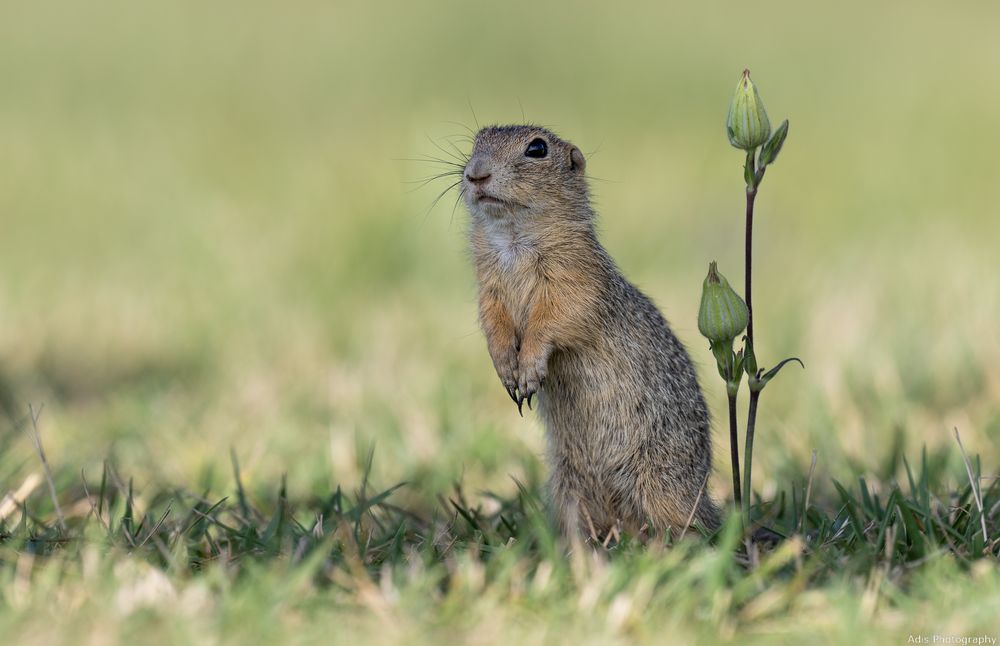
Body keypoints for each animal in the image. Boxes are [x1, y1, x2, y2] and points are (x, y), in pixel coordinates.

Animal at [460, 124, 720, 540]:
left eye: (537, 149)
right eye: (475, 143)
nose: (475, 174)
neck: (513, 241)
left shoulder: (576, 279)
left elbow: (556, 319)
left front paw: (529, 368)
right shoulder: (489, 289)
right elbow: (493, 322)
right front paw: (504, 365)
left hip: (661, 479)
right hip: (567, 485)